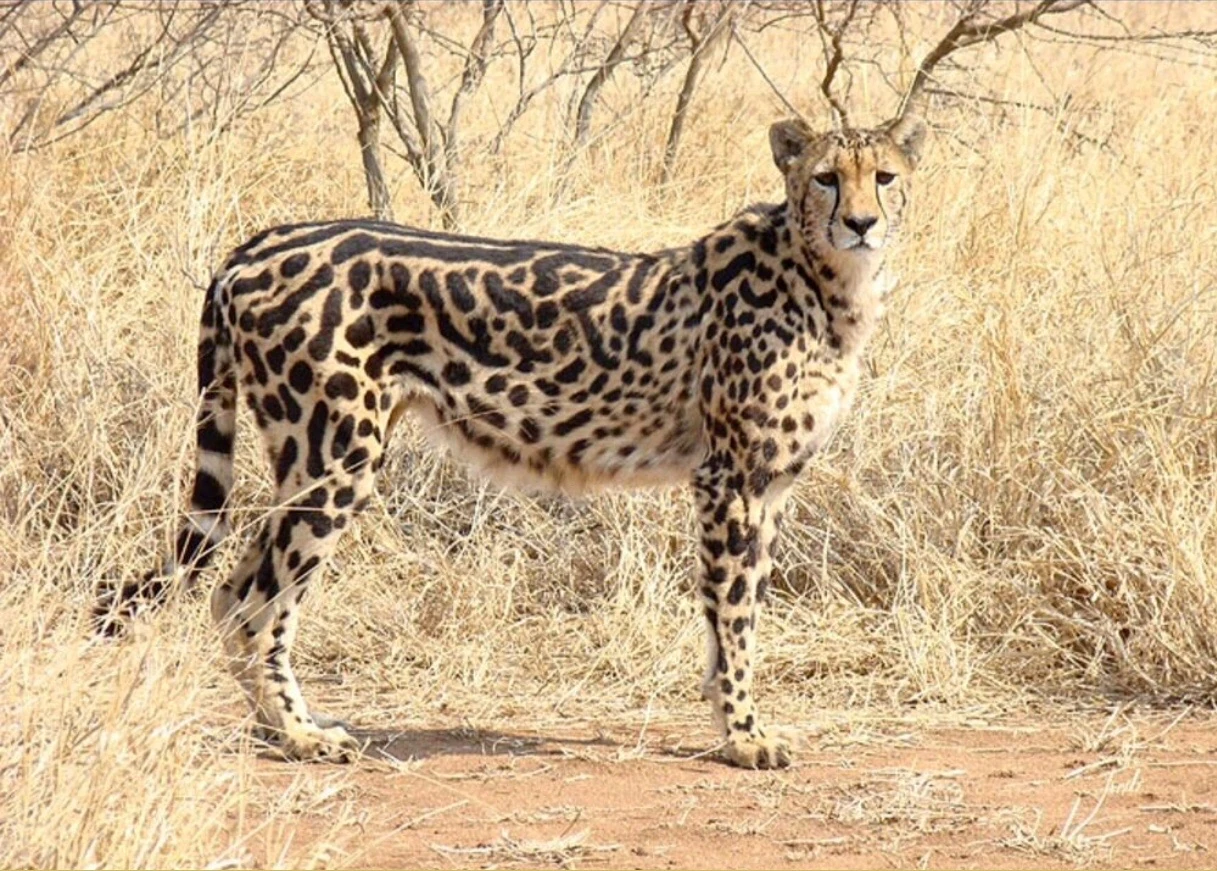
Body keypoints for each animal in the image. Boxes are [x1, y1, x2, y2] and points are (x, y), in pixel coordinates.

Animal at [95, 114, 926, 770]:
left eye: (883, 176)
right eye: (825, 178)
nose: (861, 222)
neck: (823, 277)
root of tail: (257, 244)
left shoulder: (769, 483)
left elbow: (733, 616)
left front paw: (729, 720)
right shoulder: (732, 477)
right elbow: (735, 614)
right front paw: (743, 736)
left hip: (316, 455)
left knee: (234, 590)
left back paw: (278, 729)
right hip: (333, 455)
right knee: (250, 600)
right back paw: (299, 735)